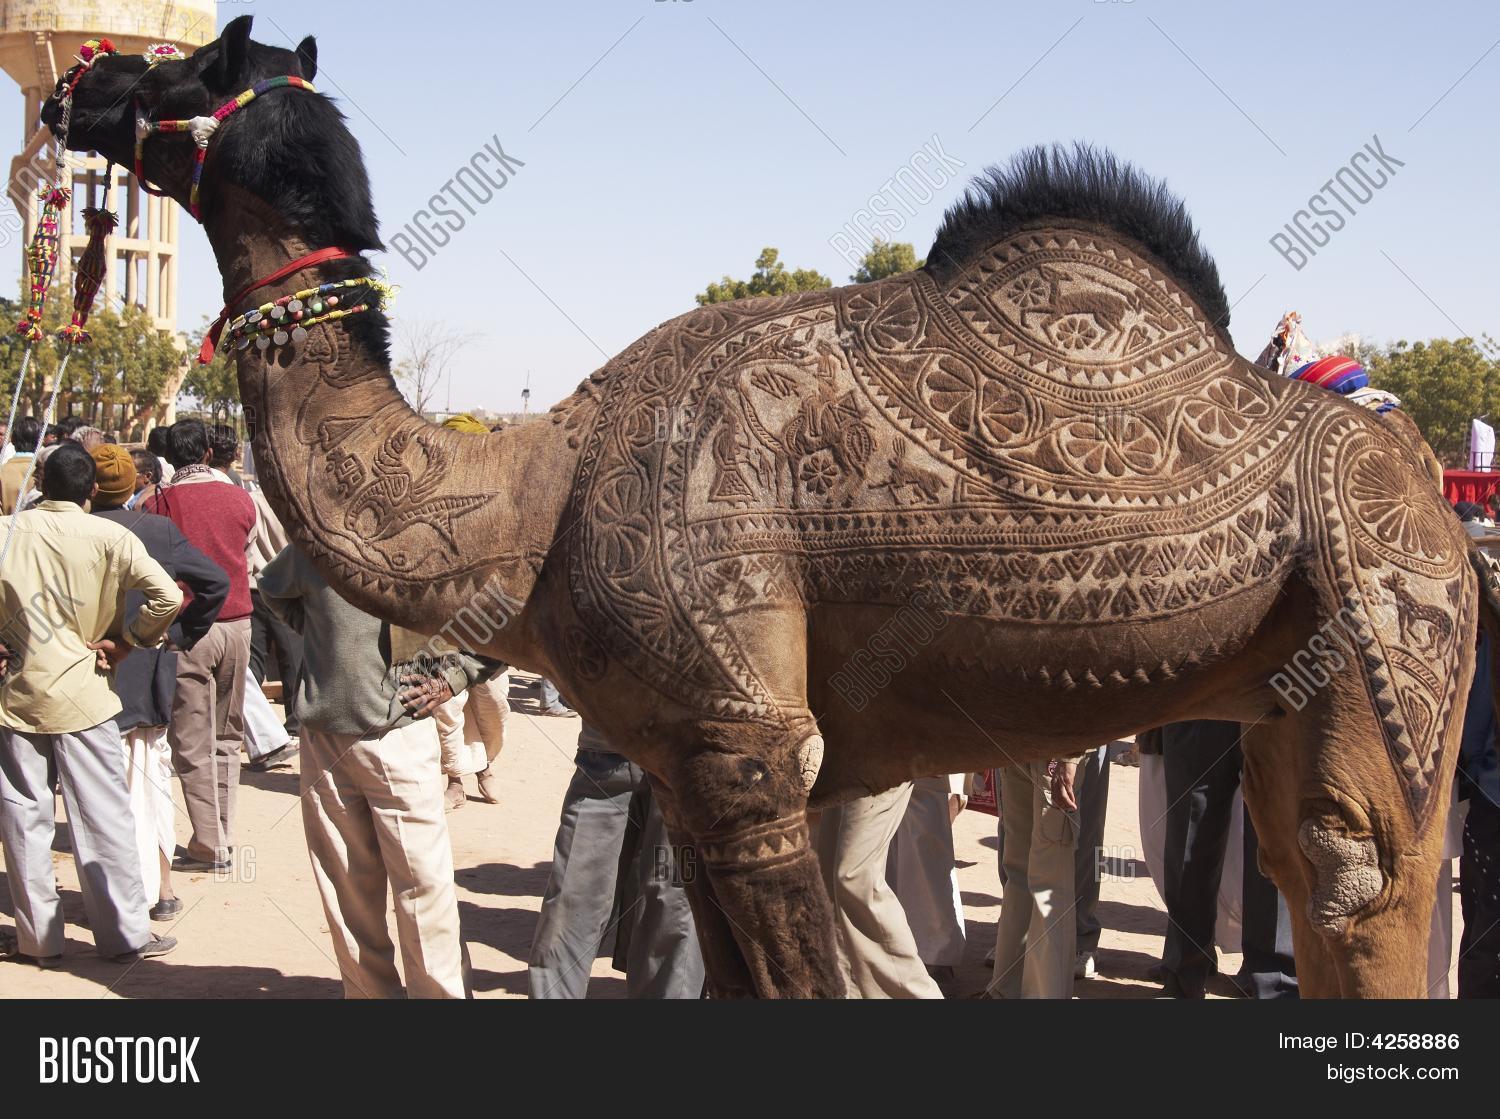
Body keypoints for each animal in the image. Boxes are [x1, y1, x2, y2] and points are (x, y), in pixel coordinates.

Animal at [49, 16, 1485, 997]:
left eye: (187, 77)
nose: (79, 85)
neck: (533, 496)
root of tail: (1426, 487)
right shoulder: (688, 765)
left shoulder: (746, 748)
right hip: (1286, 684)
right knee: (1309, 859)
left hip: (1386, 621)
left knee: (1360, 870)